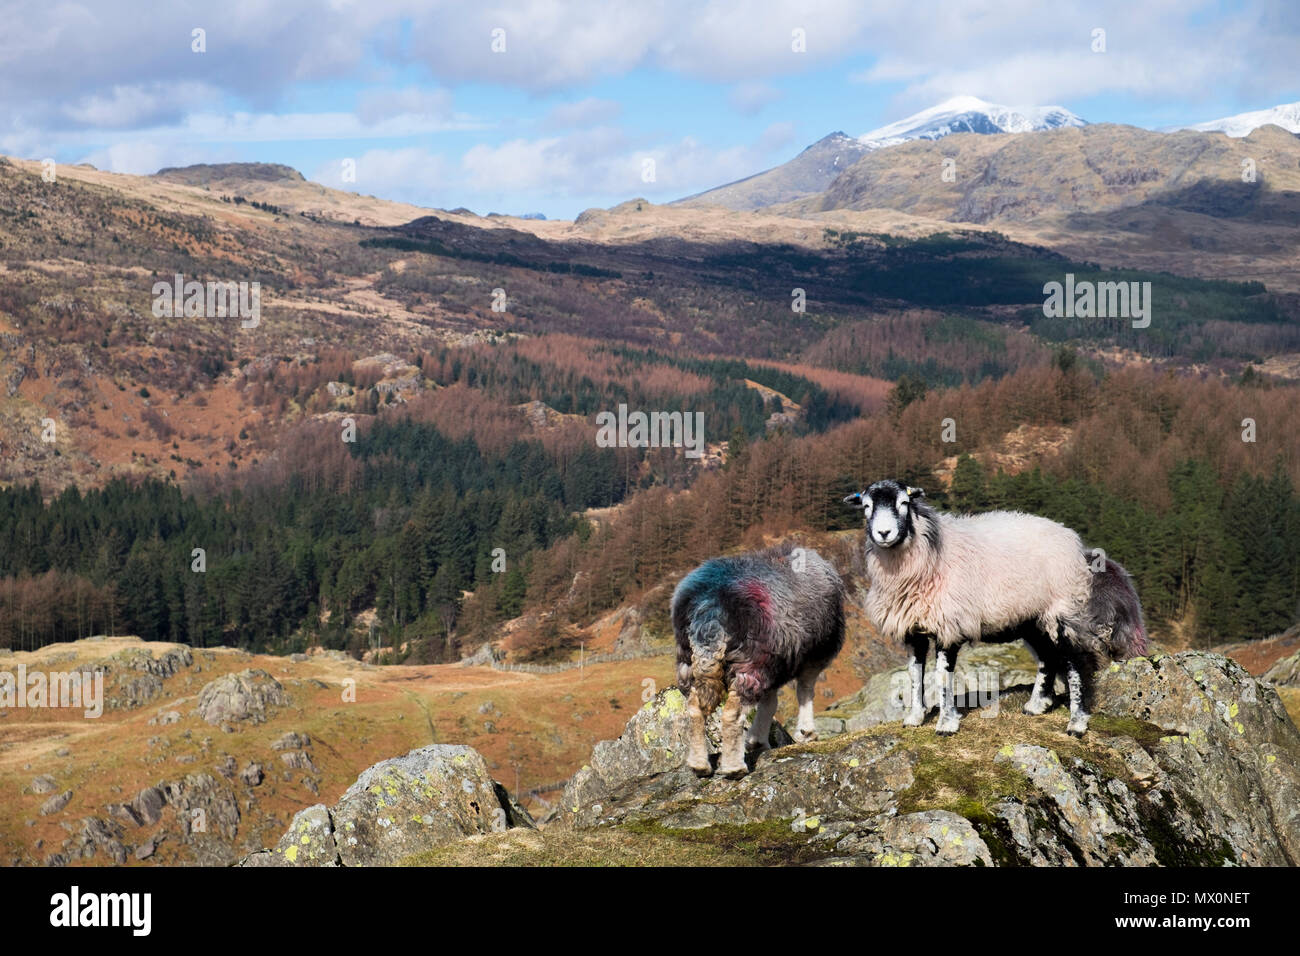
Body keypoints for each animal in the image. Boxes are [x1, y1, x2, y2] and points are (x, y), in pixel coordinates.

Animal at [671, 542, 845, 778]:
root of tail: (709, 607)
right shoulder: (814, 655)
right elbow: (804, 691)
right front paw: (806, 732)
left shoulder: (775, 665)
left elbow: (769, 703)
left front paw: (757, 741)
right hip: (750, 661)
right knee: (732, 714)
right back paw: (734, 768)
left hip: (689, 661)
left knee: (694, 709)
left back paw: (700, 765)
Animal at [845, 478, 1147, 737]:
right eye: (867, 507)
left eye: (904, 503)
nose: (884, 533)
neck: (926, 557)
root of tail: (1078, 547)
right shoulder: (914, 629)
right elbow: (914, 673)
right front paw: (914, 718)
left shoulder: (949, 624)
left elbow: (942, 675)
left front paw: (946, 724)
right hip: (1033, 619)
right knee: (1048, 657)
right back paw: (1037, 705)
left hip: (1062, 610)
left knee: (1076, 662)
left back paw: (1077, 723)